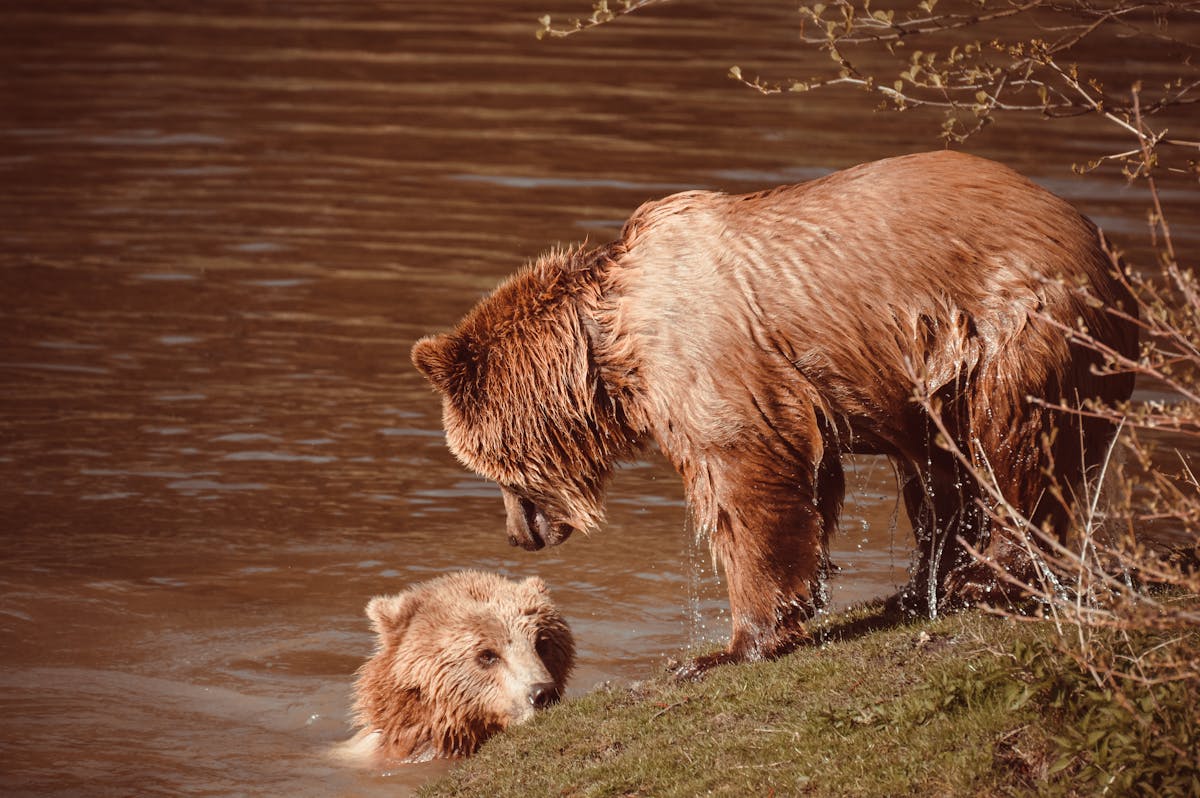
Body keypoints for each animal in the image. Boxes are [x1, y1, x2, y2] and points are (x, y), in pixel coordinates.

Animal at [410, 151, 1138, 678]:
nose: (517, 535)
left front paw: (723, 649)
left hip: (1015, 324)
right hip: (938, 374)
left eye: (483, 464)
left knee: (1012, 449)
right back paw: (917, 589)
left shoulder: (715, 360)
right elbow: (813, 483)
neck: (608, 348)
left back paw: (984, 580)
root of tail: (1108, 250)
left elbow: (747, 481)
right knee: (941, 474)